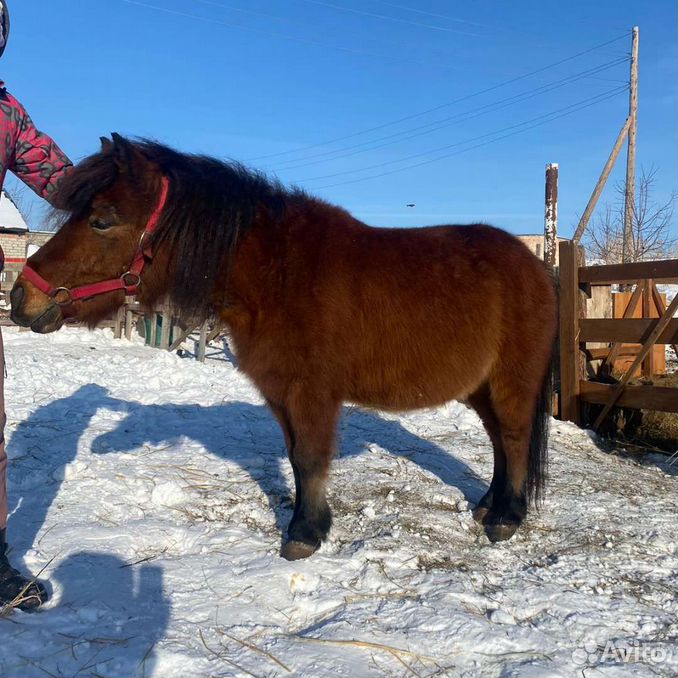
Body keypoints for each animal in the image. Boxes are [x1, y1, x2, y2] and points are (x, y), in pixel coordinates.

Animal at [10, 135, 556, 560]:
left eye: (101, 220)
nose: (20, 298)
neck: (280, 277)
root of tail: (535, 266)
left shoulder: (312, 394)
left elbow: (311, 459)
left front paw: (303, 535)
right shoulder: (281, 394)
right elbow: (295, 459)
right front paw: (307, 523)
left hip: (510, 382)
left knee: (513, 438)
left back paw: (506, 518)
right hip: (480, 388)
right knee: (499, 442)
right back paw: (488, 505)